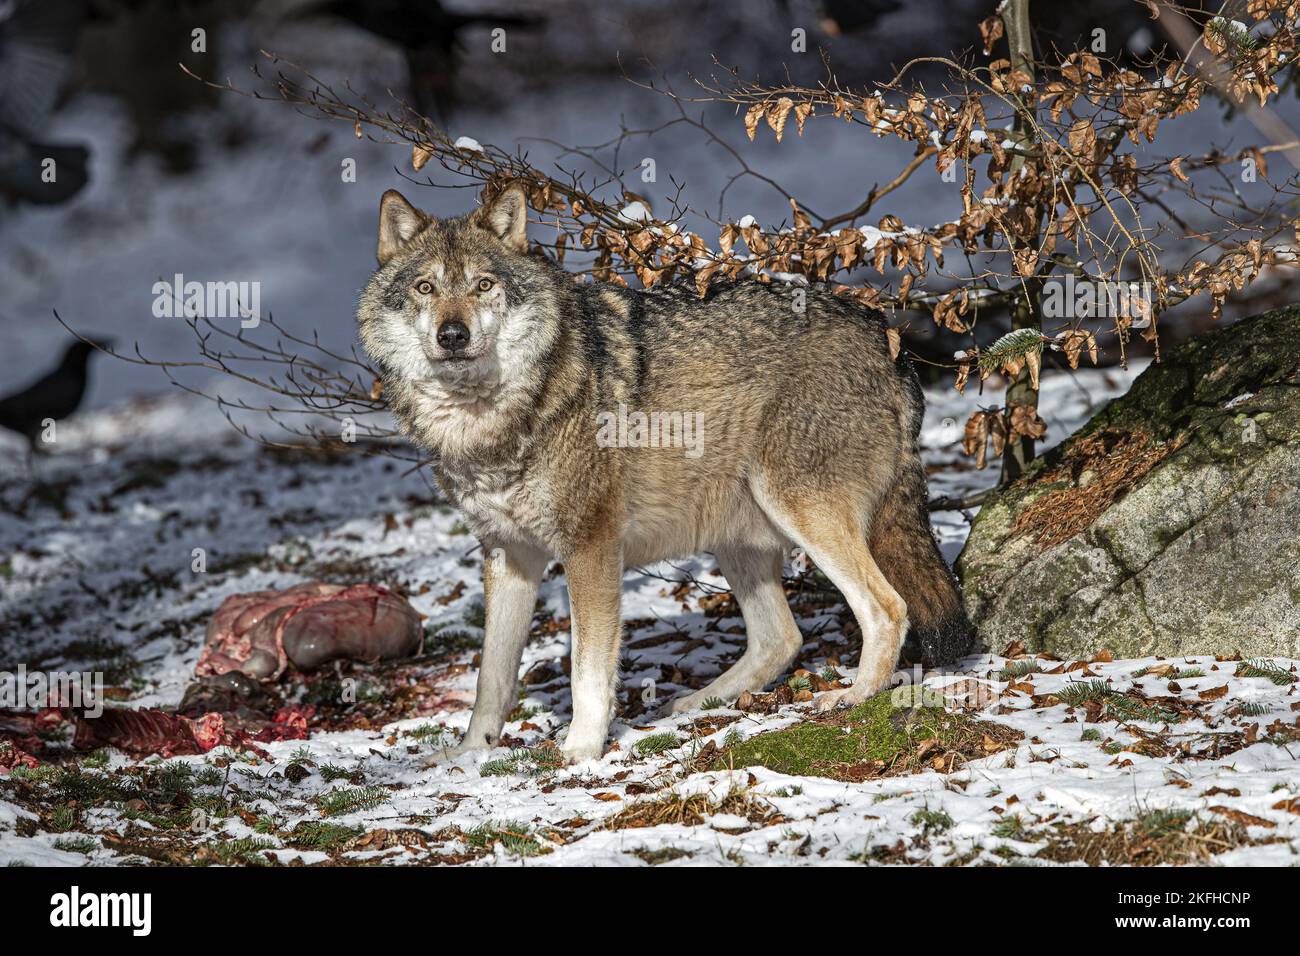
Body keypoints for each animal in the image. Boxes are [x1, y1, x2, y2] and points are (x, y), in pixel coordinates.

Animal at [357, 184, 973, 763]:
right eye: (426, 289)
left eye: (484, 285)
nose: (453, 335)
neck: (488, 421)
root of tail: (888, 337)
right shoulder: (509, 555)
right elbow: (492, 676)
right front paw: (471, 753)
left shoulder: (591, 548)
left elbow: (587, 671)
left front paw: (581, 750)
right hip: (739, 537)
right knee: (782, 637)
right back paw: (696, 703)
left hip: (797, 509)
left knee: (886, 609)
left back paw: (853, 697)